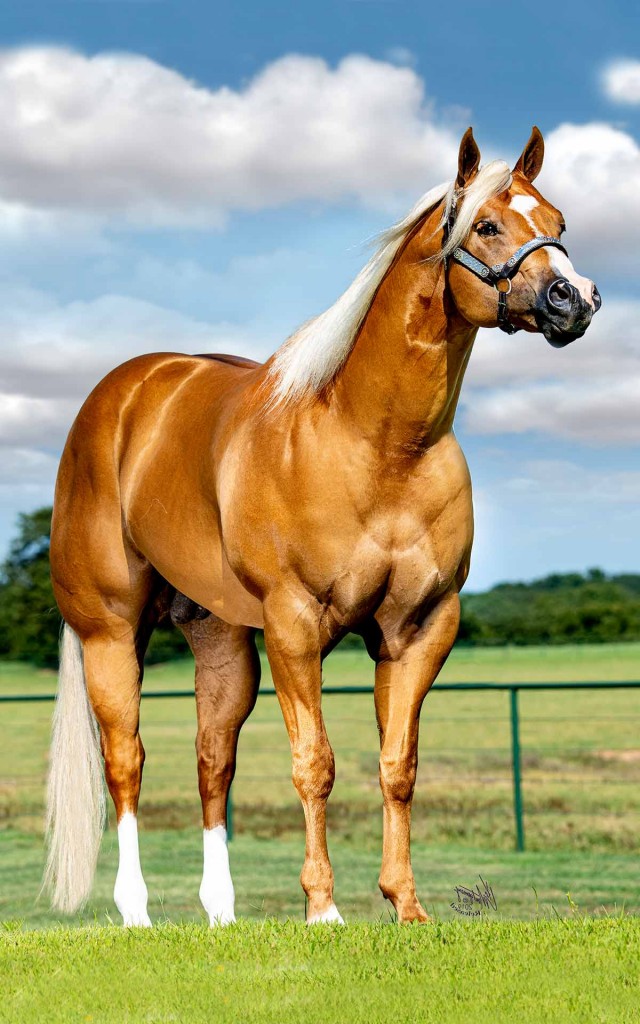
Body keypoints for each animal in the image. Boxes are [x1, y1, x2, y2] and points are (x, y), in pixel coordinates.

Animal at [44, 126, 600, 926]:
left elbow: (397, 765)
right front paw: (324, 909)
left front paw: (405, 905)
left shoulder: (420, 627)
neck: (379, 444)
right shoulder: (295, 624)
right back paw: (137, 910)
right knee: (127, 760)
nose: (574, 298)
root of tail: (121, 397)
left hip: (220, 640)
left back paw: (221, 913)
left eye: (557, 222)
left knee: (213, 760)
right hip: (111, 633)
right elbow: (316, 764)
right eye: (488, 225)